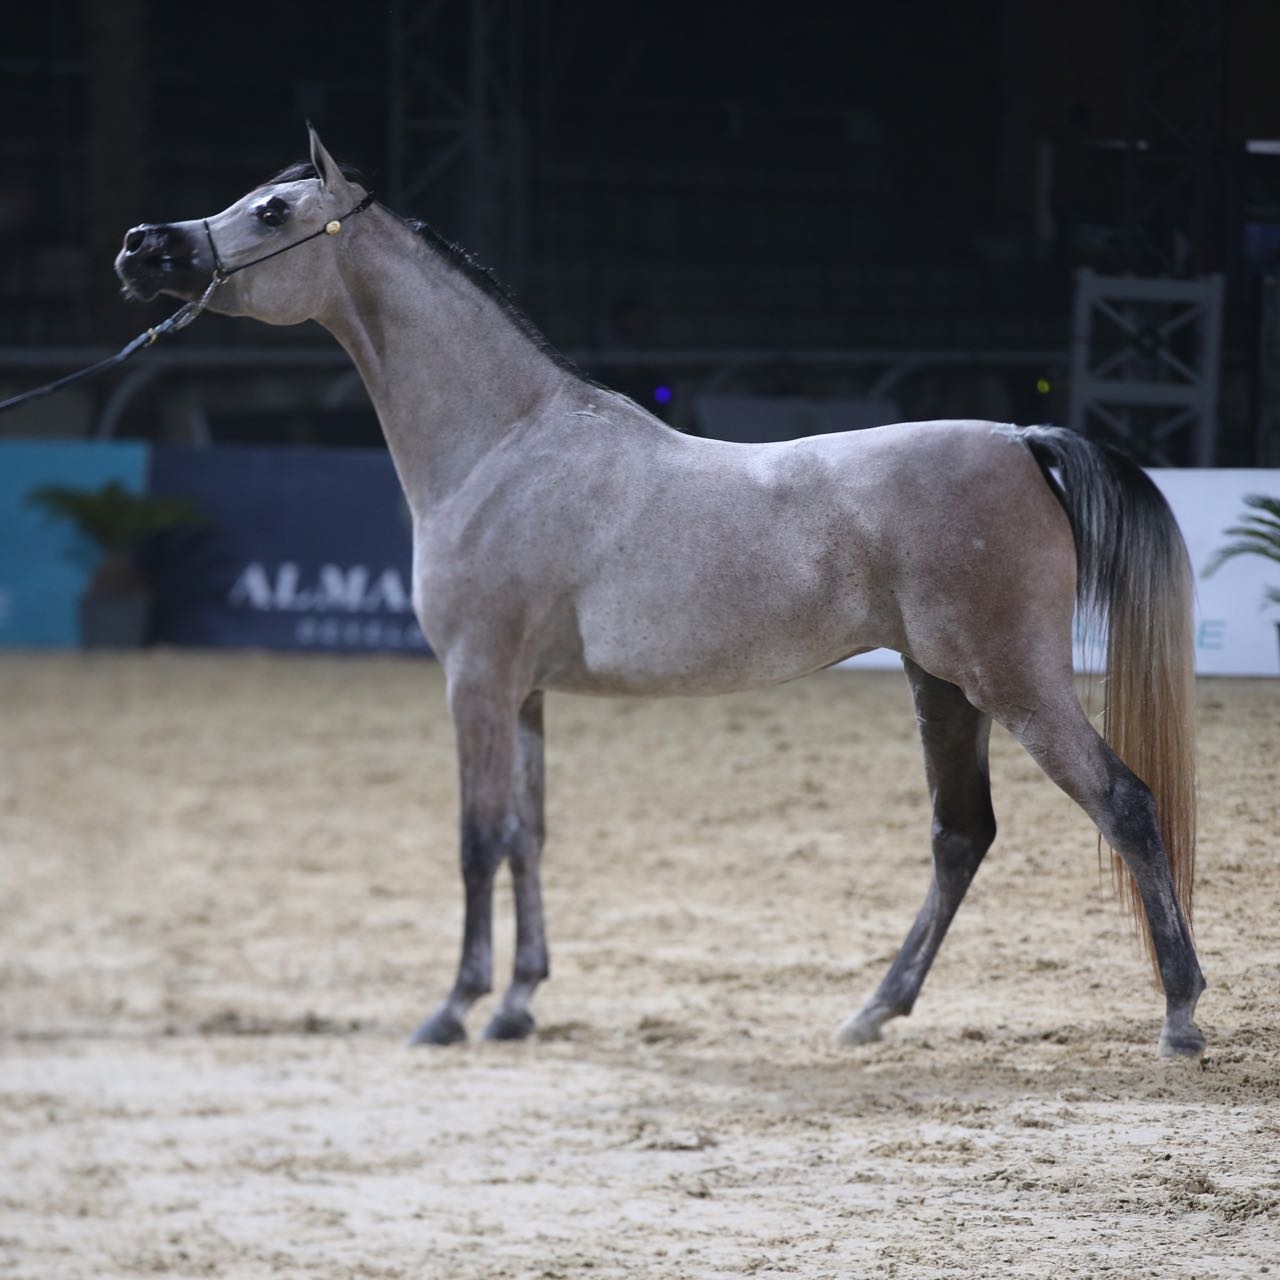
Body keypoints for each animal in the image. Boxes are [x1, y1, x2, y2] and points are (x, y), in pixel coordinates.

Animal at [115, 126, 1205, 1059]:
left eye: (270, 211)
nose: (140, 247)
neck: (505, 444)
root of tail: (1020, 439)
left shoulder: (475, 680)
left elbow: (476, 840)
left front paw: (453, 1008)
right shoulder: (523, 692)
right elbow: (527, 836)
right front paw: (516, 1003)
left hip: (1013, 682)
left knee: (1122, 801)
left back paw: (1180, 1016)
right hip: (941, 685)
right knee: (961, 834)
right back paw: (871, 1012)